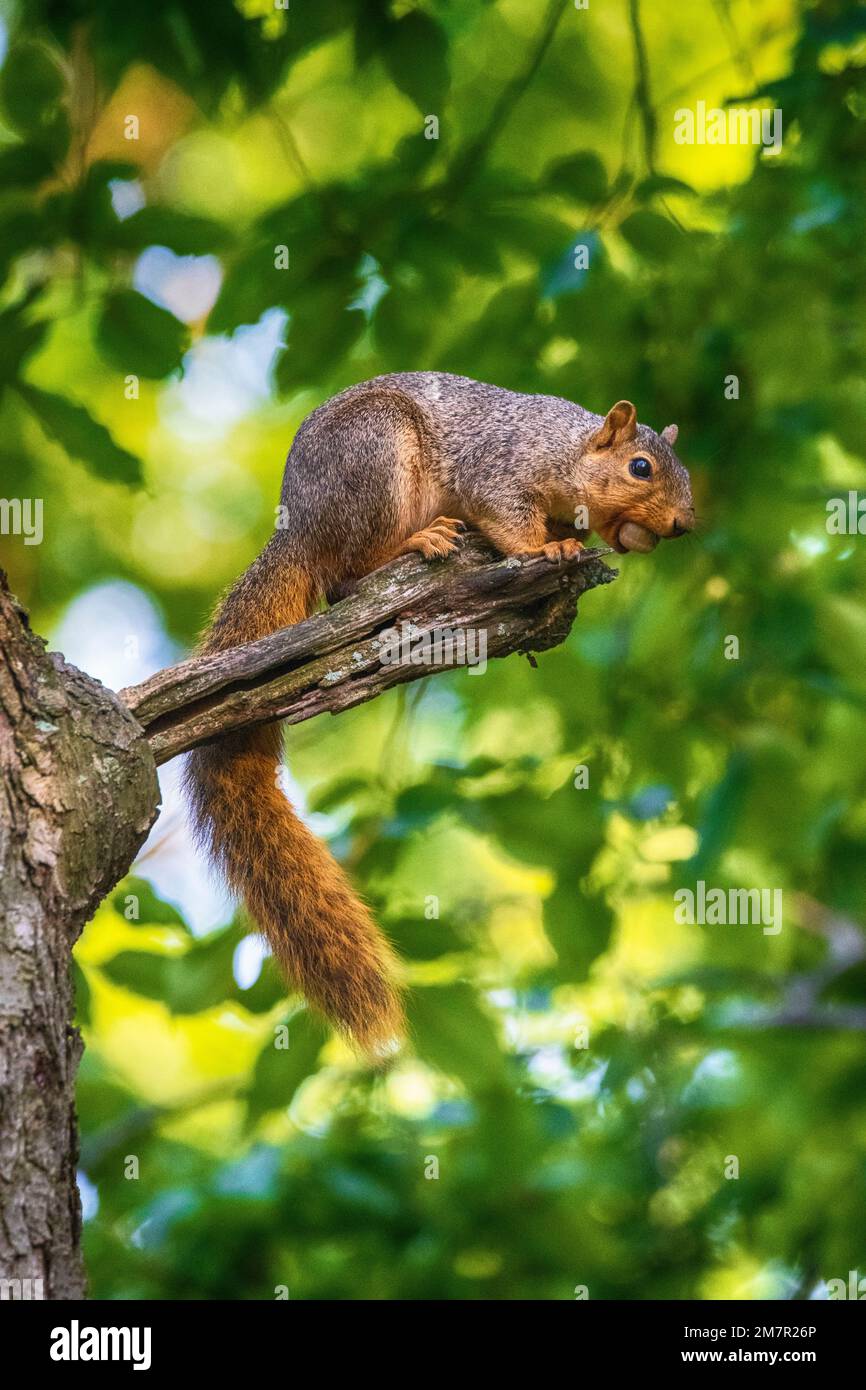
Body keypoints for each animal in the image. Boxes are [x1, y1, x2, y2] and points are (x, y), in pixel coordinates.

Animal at [184, 372, 694, 1056]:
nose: (684, 523)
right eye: (641, 467)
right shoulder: (500, 472)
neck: (565, 447)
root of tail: (299, 528)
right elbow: (510, 522)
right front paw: (553, 546)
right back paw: (420, 540)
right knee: (346, 577)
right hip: (374, 463)